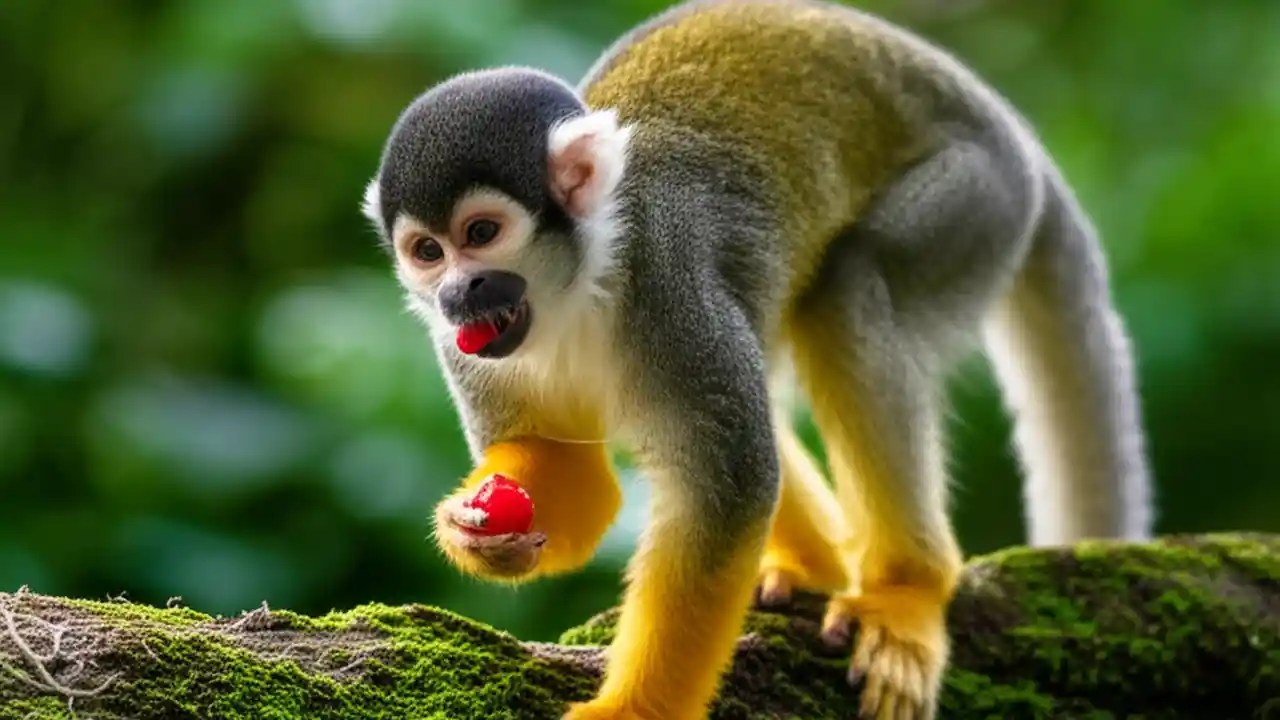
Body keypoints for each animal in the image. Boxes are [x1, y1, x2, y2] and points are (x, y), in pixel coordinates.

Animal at [358, 0, 1154, 718]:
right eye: (426, 252)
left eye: (481, 234)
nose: (457, 292)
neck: (578, 287)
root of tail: (1009, 128)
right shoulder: (460, 348)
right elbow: (579, 483)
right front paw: (476, 532)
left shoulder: (671, 286)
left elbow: (727, 496)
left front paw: (636, 712)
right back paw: (818, 566)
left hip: (977, 200)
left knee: (847, 290)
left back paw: (908, 589)